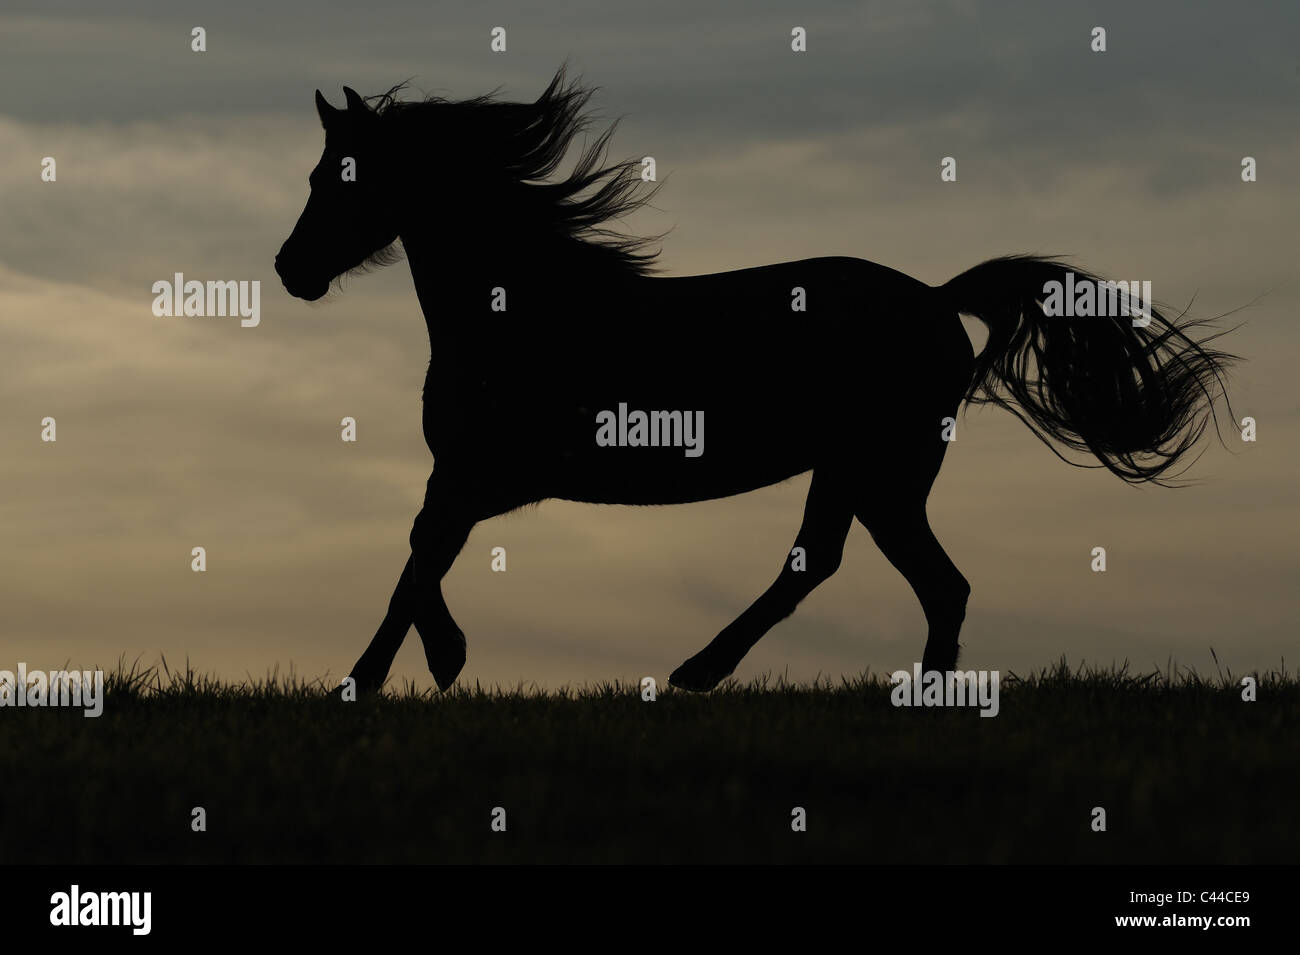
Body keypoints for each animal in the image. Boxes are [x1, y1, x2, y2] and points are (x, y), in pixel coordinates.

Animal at [274, 68, 1237, 694]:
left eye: (338, 177)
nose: (290, 270)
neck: (521, 307)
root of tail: (935, 298)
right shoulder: (476, 478)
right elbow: (419, 549)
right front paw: (442, 660)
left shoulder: (485, 475)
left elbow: (416, 558)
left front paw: (375, 679)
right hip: (860, 474)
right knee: (856, 569)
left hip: (882, 471)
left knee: (913, 579)